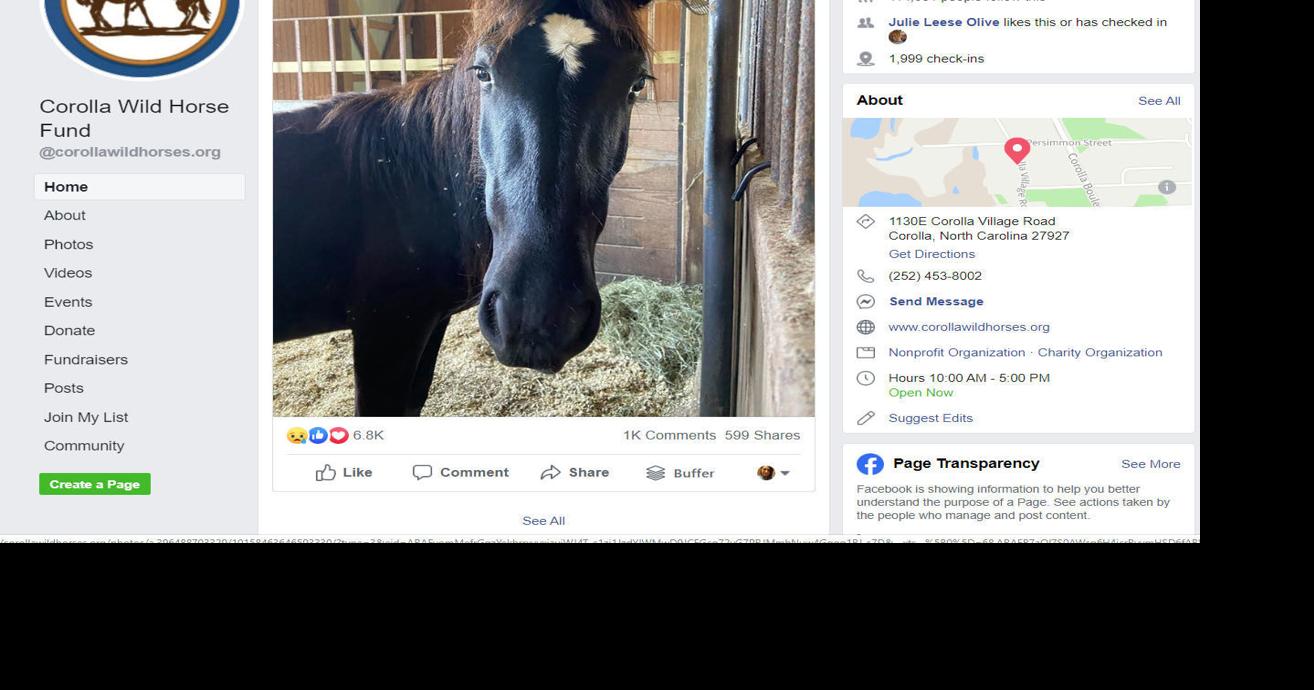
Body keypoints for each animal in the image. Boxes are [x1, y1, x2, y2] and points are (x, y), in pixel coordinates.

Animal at [274, 0, 655, 416]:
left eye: (637, 83)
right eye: (483, 73)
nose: (539, 320)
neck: (407, 182)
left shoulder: (429, 323)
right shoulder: (387, 329)